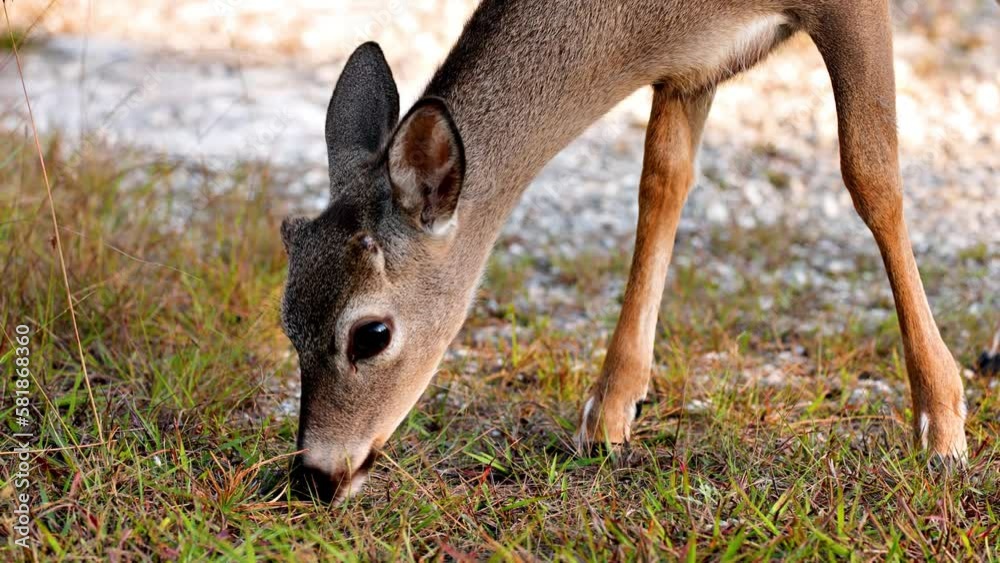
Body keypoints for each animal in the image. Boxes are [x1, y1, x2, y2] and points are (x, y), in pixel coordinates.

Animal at [280, 0, 969, 503]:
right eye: (287, 324)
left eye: (371, 334)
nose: (313, 476)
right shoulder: (695, 63)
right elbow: (662, 179)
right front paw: (609, 413)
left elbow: (872, 174)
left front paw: (942, 427)